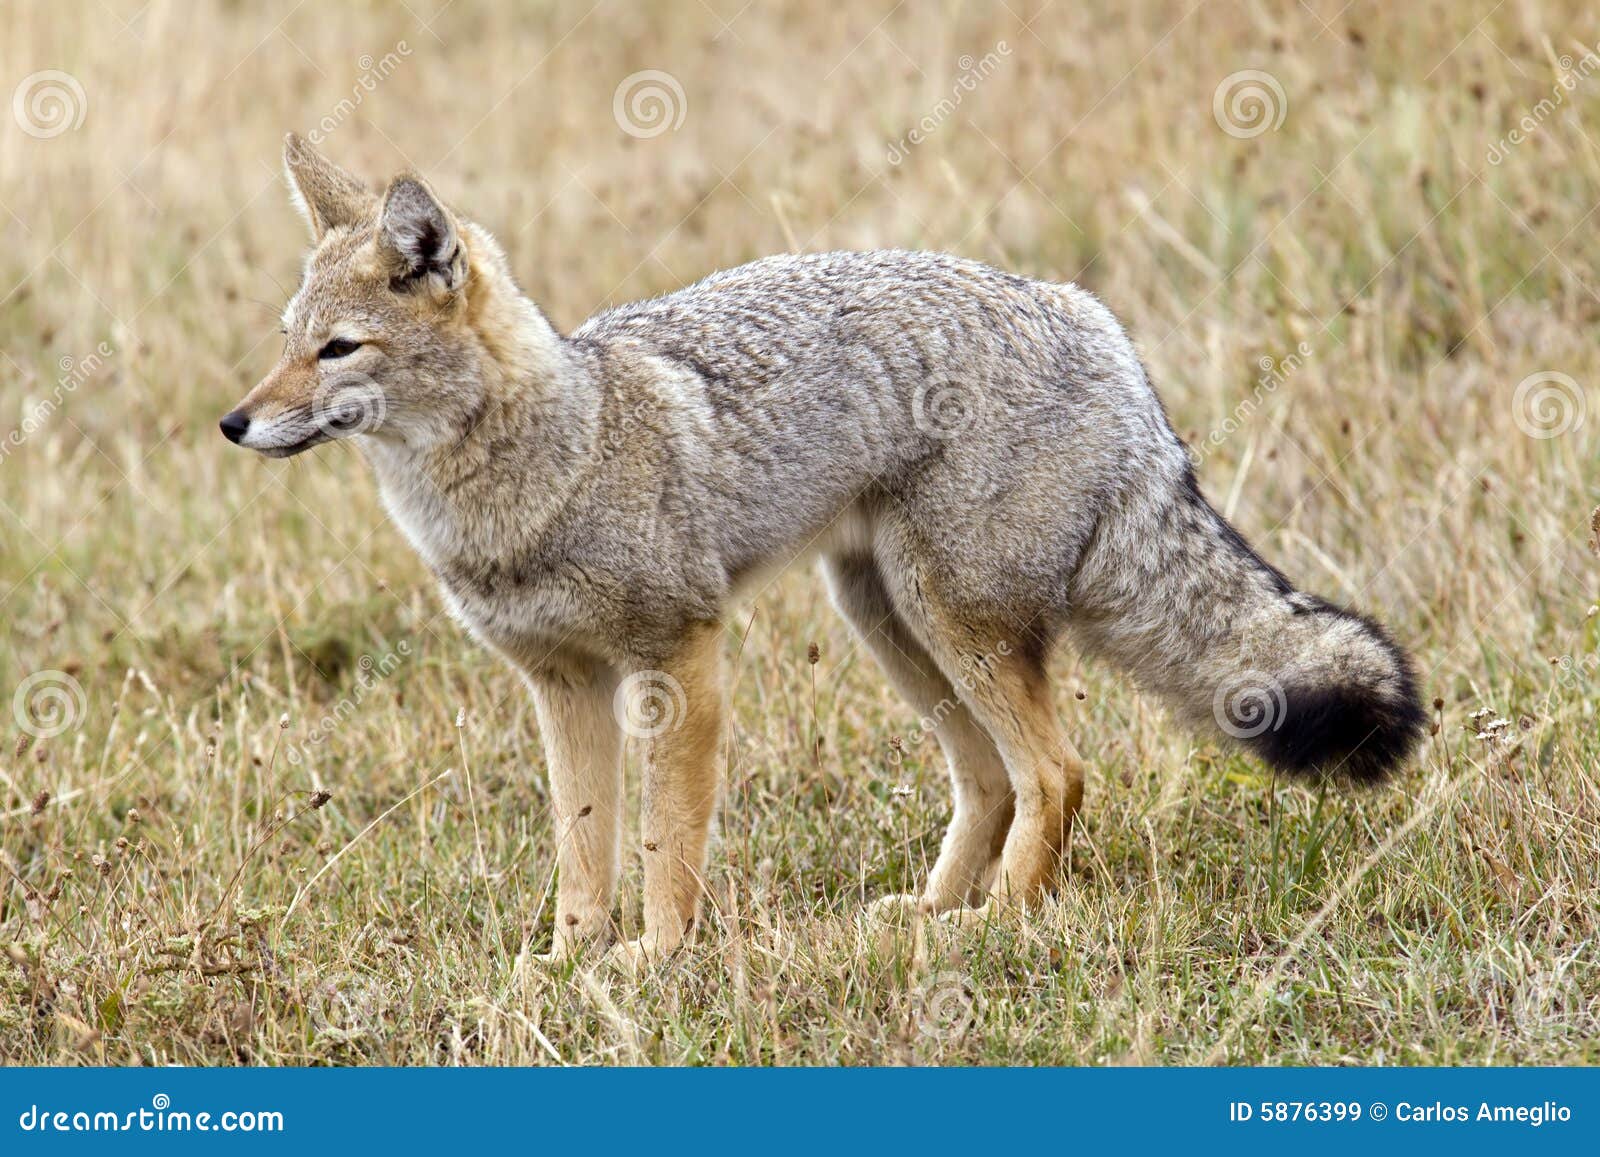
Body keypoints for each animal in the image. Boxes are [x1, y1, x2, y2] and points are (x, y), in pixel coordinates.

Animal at [221, 135, 1425, 965]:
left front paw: (655, 958)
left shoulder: (678, 660)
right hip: (890, 621)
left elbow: (662, 841)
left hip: (953, 623)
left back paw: (999, 923)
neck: (546, 465)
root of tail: (1091, 319)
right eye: (284, 341)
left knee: (1056, 772)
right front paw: (568, 962)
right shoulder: (561, 685)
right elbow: (581, 847)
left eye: (338, 350)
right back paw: (930, 911)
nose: (232, 423)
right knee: (988, 778)